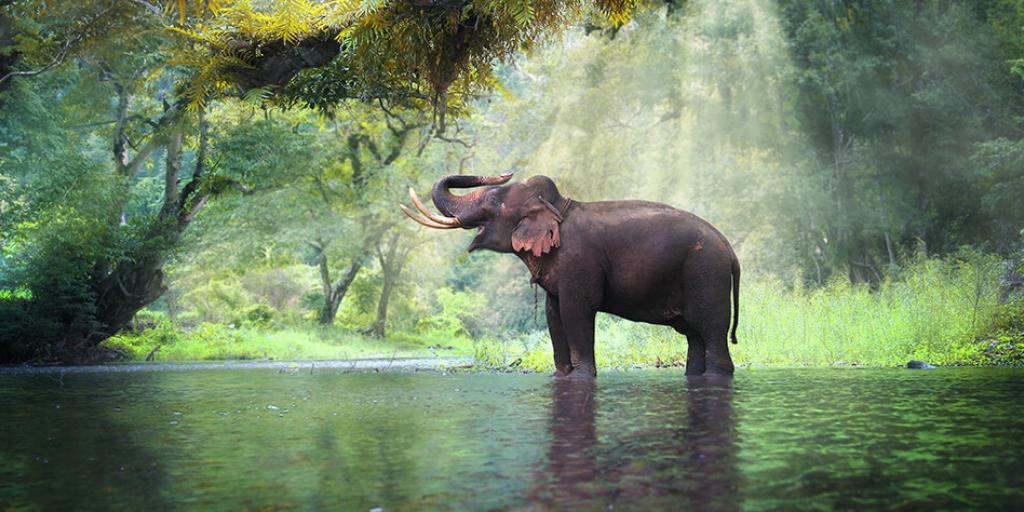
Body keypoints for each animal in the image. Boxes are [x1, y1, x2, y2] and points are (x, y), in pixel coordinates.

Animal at [400, 173, 740, 377]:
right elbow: (553, 314)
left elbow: (577, 310)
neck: (558, 207)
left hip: (706, 273)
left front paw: (582, 377)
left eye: (494, 200)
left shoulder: (579, 262)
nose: (507, 171)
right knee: (694, 335)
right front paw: (559, 375)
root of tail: (730, 251)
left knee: (711, 331)